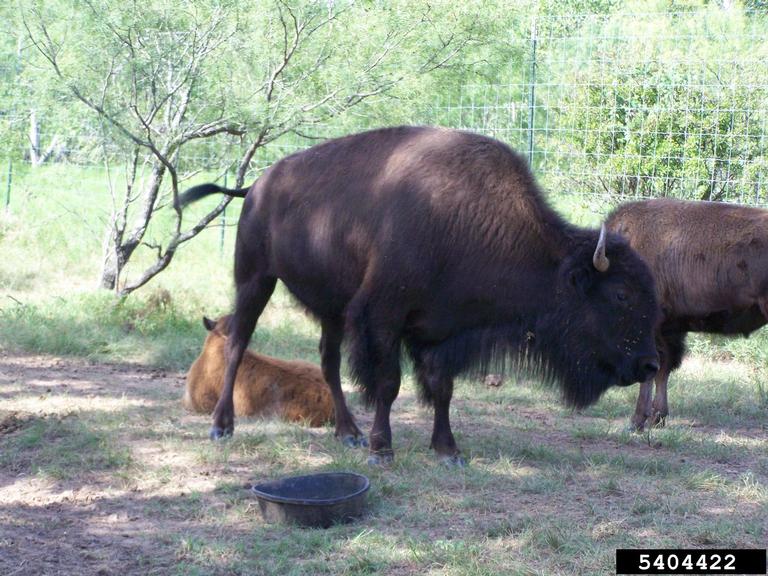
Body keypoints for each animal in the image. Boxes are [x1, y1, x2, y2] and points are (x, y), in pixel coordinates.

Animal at [181, 126, 660, 465]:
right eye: (621, 295)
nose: (649, 365)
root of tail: (257, 187)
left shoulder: (441, 333)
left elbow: (442, 389)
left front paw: (448, 451)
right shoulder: (383, 318)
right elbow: (389, 384)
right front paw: (382, 449)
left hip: (331, 309)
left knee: (328, 362)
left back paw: (348, 432)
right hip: (254, 279)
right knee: (238, 342)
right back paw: (222, 427)